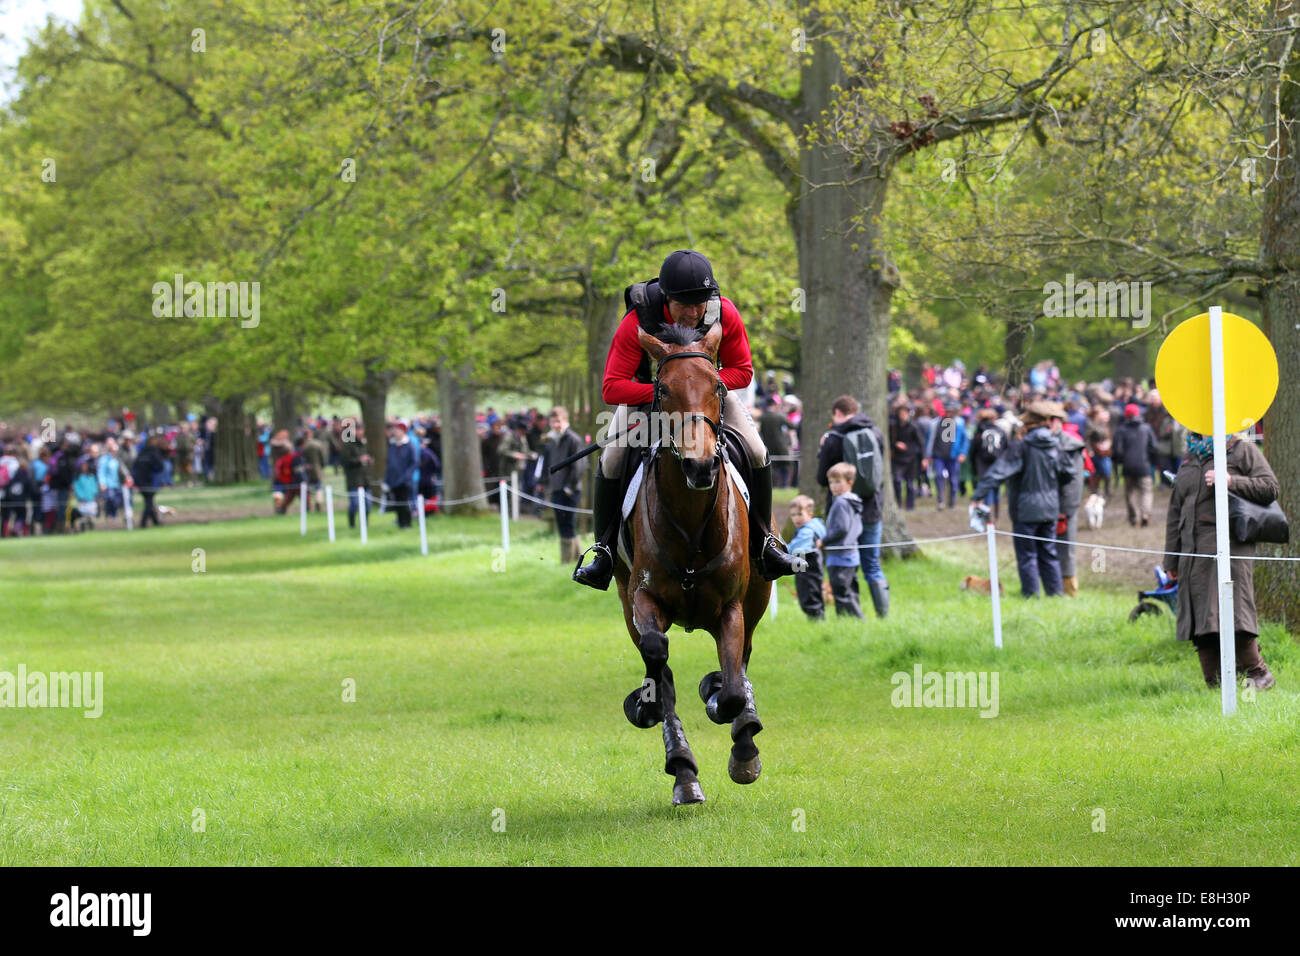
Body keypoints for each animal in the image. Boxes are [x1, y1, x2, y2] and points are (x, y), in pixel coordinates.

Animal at [614, 320, 772, 806]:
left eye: (717, 387)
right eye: (662, 389)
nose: (700, 466)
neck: (689, 517)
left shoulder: (733, 608)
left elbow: (735, 686)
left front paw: (738, 738)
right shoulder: (642, 598)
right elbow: (656, 657)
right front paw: (646, 706)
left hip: (758, 598)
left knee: (744, 659)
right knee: (659, 665)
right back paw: (682, 769)